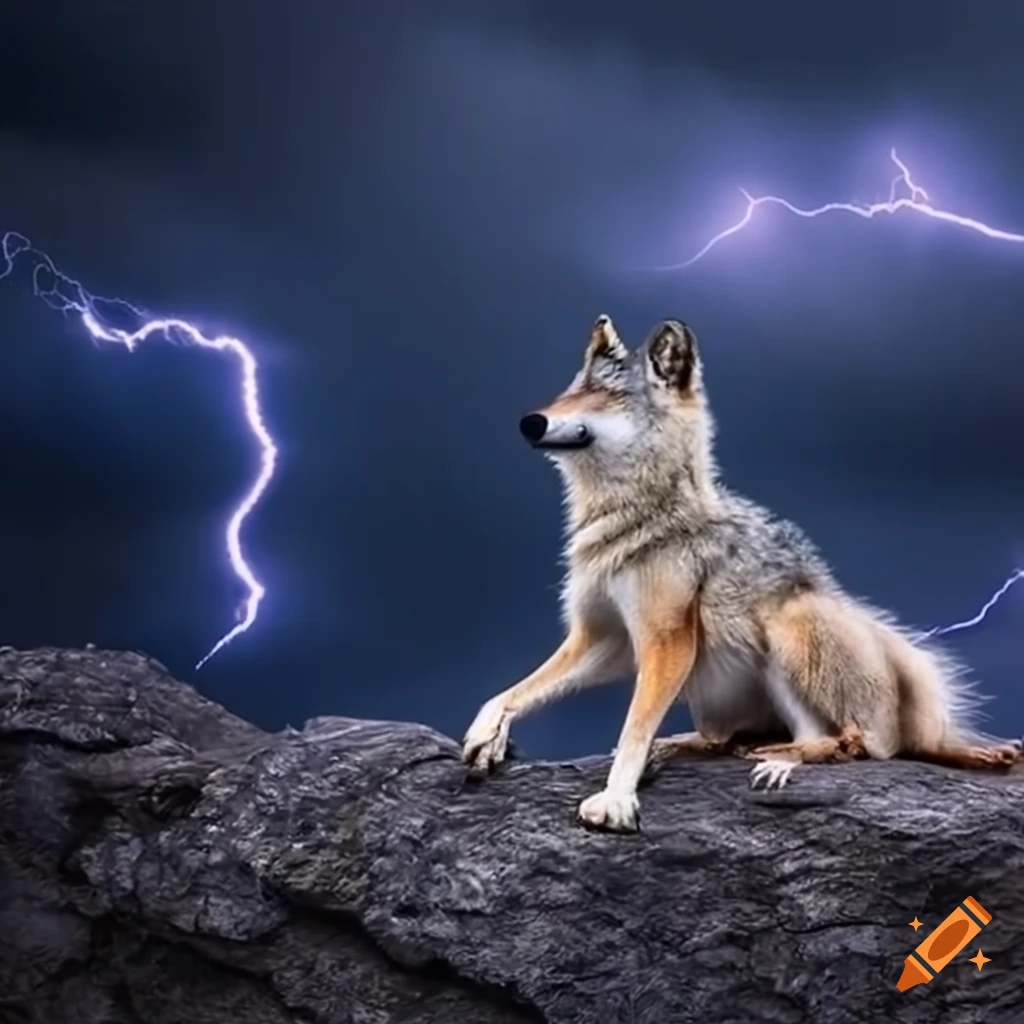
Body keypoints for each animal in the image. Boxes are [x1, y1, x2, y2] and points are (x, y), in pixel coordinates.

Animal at [461, 314, 1021, 833]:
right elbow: (517, 691)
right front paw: (486, 734)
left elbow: (632, 729)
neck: (640, 518)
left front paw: (617, 800)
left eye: (608, 396)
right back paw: (693, 745)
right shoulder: (607, 639)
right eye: (572, 390)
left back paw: (781, 762)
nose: (529, 423)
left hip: (785, 629)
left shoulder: (667, 641)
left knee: (854, 742)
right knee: (726, 739)